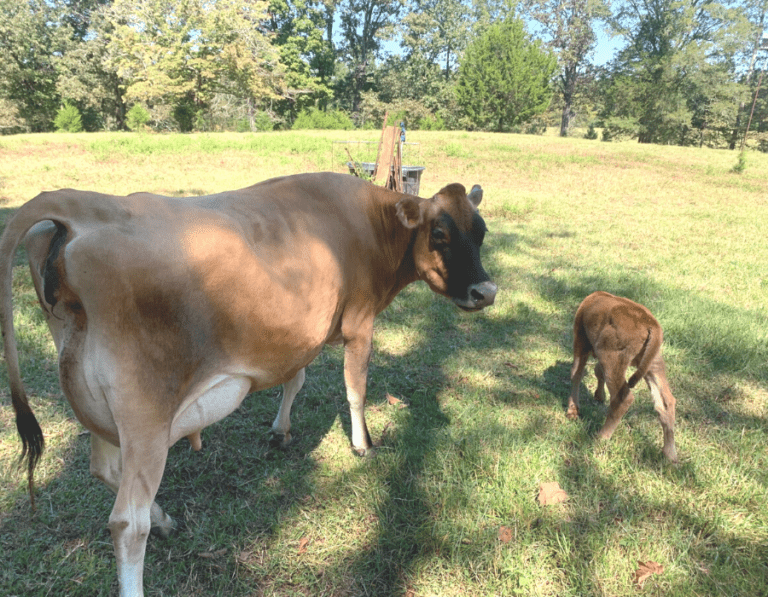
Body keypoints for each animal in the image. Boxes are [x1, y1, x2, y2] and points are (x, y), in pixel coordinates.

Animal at [0, 172, 496, 597]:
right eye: (439, 234)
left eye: (482, 232)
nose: (486, 292)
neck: (367, 224)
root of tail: (79, 205)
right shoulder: (360, 322)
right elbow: (355, 389)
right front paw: (362, 444)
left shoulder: (298, 334)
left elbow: (295, 380)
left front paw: (280, 430)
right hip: (145, 414)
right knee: (126, 522)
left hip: (93, 400)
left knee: (103, 470)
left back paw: (164, 519)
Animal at [567, 291, 677, 462]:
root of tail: (652, 325)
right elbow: (597, 371)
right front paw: (599, 396)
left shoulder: (581, 340)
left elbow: (576, 373)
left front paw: (572, 411)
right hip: (653, 363)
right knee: (666, 402)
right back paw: (670, 454)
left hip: (612, 358)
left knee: (623, 398)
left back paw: (599, 439)